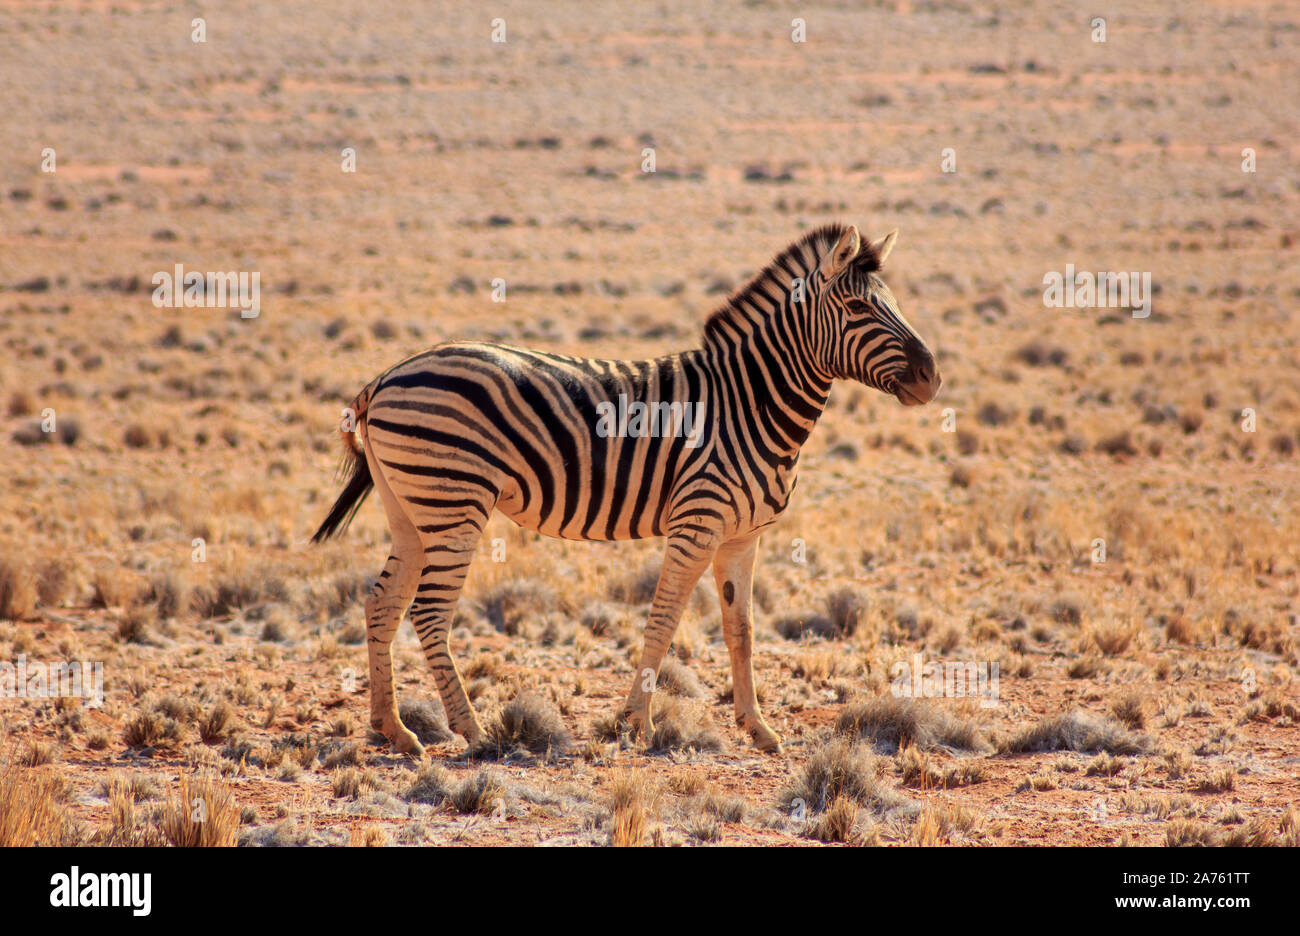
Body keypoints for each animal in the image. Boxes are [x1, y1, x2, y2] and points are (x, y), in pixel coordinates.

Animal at [312, 223, 941, 756]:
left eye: (894, 302)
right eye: (857, 307)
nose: (932, 377)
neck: (751, 402)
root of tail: (386, 375)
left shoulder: (744, 536)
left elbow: (741, 630)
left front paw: (758, 729)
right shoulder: (697, 524)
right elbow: (663, 620)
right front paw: (637, 724)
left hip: (410, 511)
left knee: (382, 603)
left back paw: (393, 730)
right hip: (454, 504)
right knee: (429, 612)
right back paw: (472, 730)